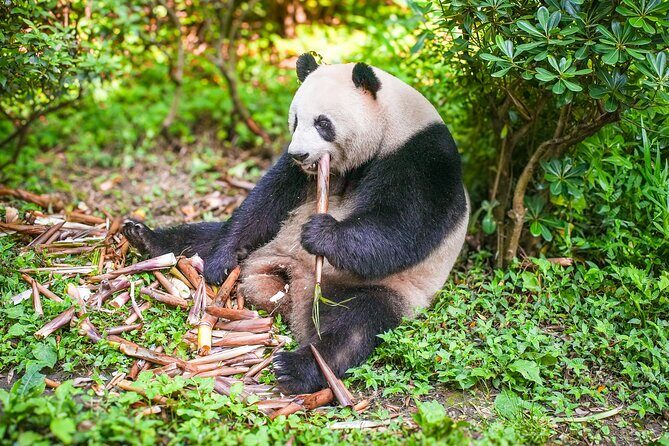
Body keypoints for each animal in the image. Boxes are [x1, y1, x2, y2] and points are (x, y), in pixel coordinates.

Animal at [122, 53, 469, 394]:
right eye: (295, 120)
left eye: (323, 123)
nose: (299, 154)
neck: (392, 124)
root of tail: (287, 281)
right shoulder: (303, 173)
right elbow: (268, 199)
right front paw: (219, 264)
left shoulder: (421, 160)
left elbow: (401, 227)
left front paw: (321, 233)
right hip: (265, 244)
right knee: (204, 236)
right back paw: (145, 237)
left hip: (380, 287)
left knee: (354, 324)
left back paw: (294, 368)